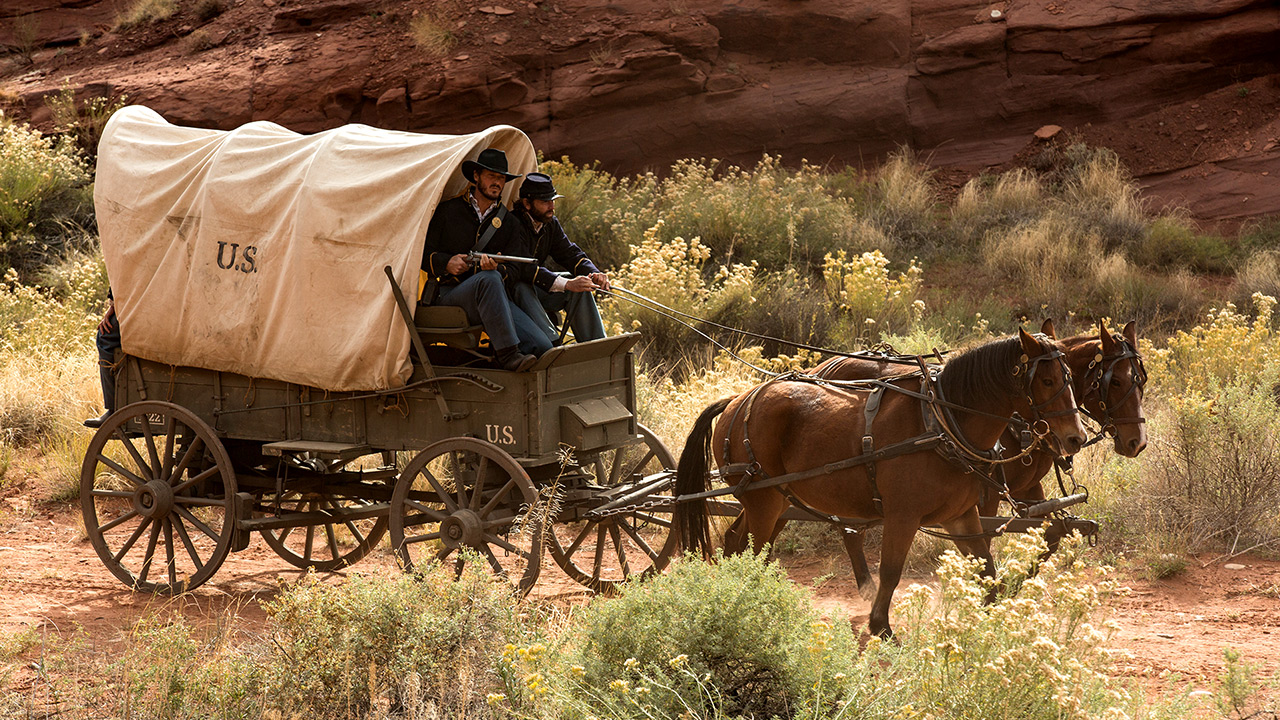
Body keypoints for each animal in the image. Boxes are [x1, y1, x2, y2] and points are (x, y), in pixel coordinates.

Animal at [675, 326, 1085, 632]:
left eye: (1070, 378)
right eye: (1047, 380)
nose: (1075, 438)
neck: (942, 423)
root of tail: (736, 401)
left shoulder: (960, 516)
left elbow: (986, 568)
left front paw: (994, 620)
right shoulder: (903, 516)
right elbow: (890, 571)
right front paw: (880, 626)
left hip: (774, 500)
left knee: (735, 541)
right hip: (766, 500)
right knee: (751, 551)